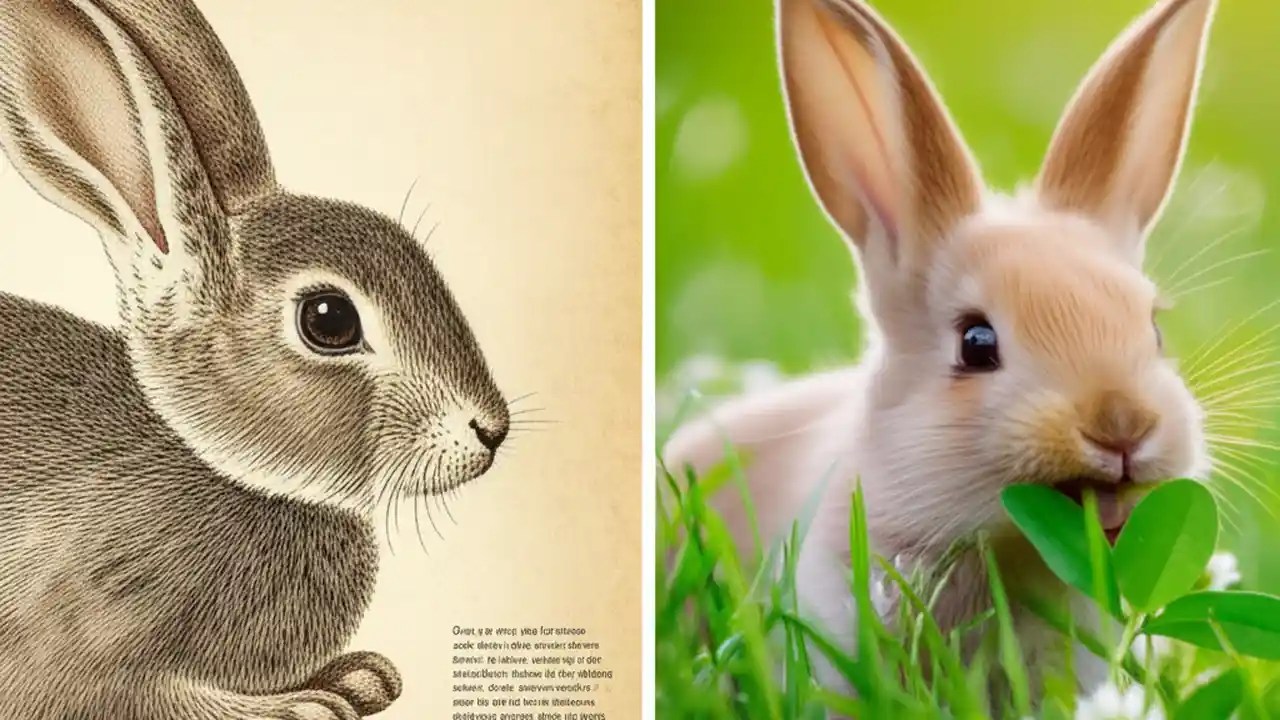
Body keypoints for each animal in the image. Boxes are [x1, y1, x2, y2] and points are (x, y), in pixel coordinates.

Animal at [0, 0, 511, 718]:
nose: (492, 429)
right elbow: (157, 696)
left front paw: (363, 675)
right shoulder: (69, 655)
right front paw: (311, 704)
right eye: (328, 320)